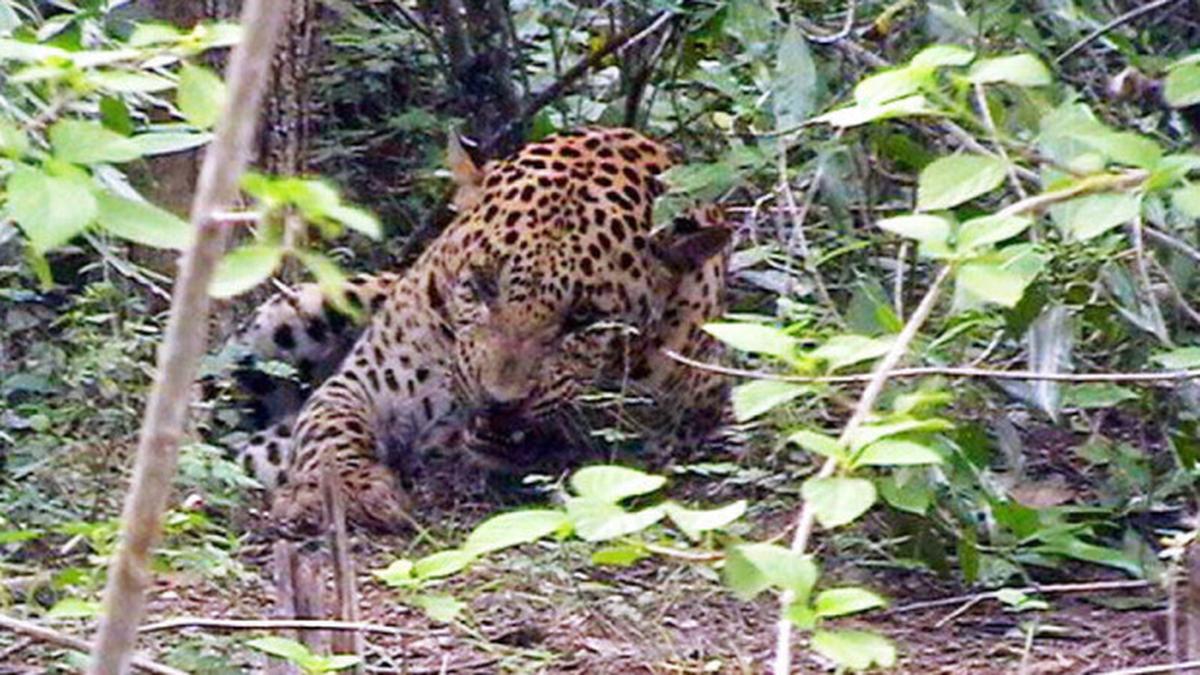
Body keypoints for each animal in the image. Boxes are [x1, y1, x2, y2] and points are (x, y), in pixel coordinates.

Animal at [227, 127, 734, 534]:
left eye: (583, 319)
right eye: (483, 285)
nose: (499, 402)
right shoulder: (362, 382)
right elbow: (329, 427)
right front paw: (338, 492)